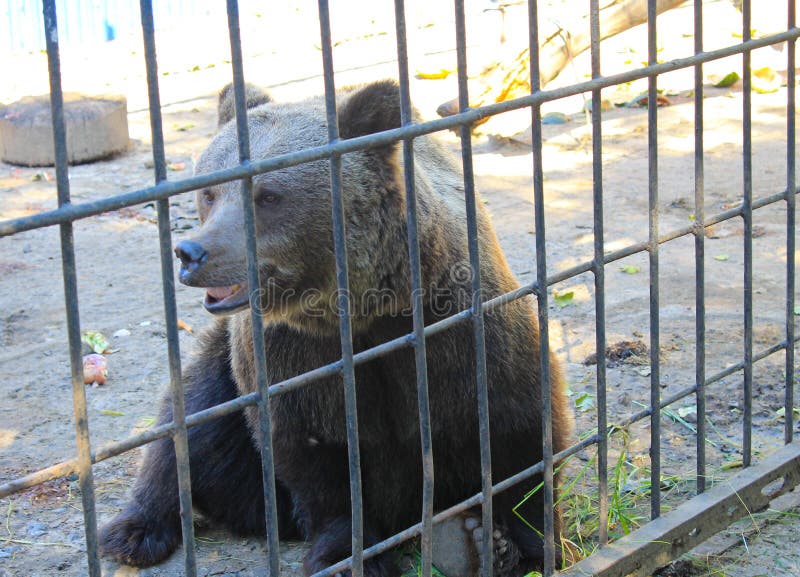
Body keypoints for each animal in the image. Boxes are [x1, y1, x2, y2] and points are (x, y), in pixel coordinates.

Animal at [98, 79, 574, 576]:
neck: (363, 313)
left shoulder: (459, 325)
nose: (192, 253)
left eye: (268, 195)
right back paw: (135, 530)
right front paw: (348, 555)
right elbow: (320, 456)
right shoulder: (293, 355)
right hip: (222, 368)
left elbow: (517, 425)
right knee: (189, 421)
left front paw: (514, 541)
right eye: (209, 191)